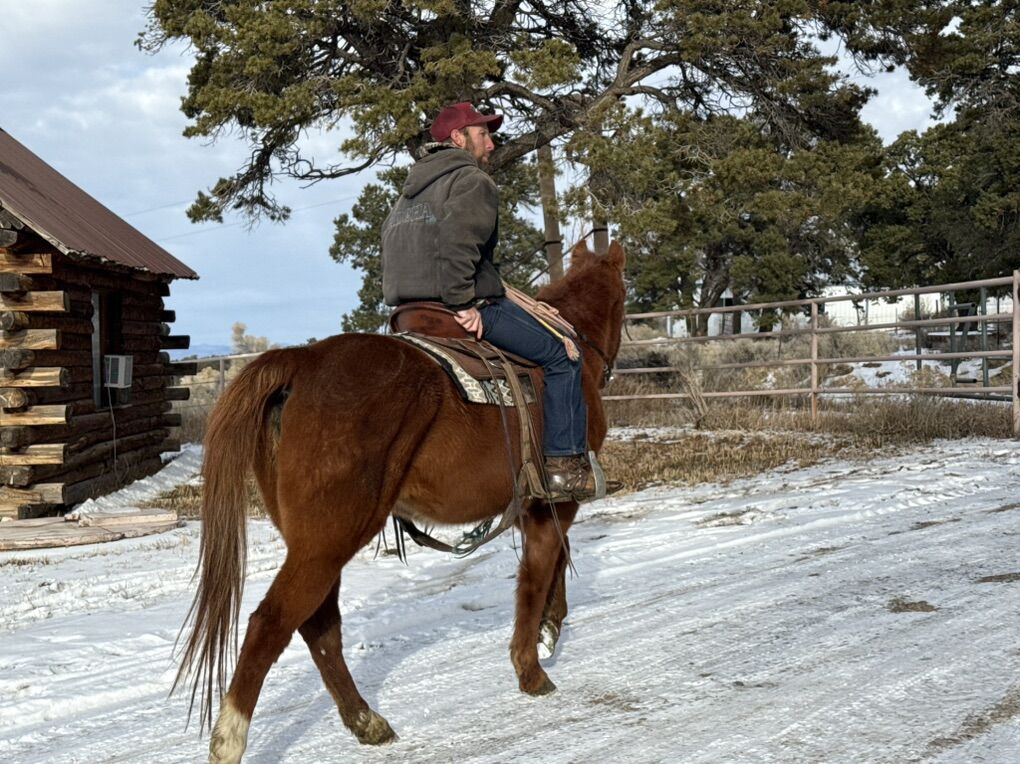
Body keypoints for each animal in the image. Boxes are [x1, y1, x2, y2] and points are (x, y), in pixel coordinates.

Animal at [176, 240, 627, 763]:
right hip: (329, 540)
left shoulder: (534, 506)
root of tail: (301, 360)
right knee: (272, 622)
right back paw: (230, 739)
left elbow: (554, 563)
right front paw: (532, 667)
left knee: (320, 626)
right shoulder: (554, 501)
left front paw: (548, 633)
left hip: (316, 543)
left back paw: (367, 721)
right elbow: (537, 577)